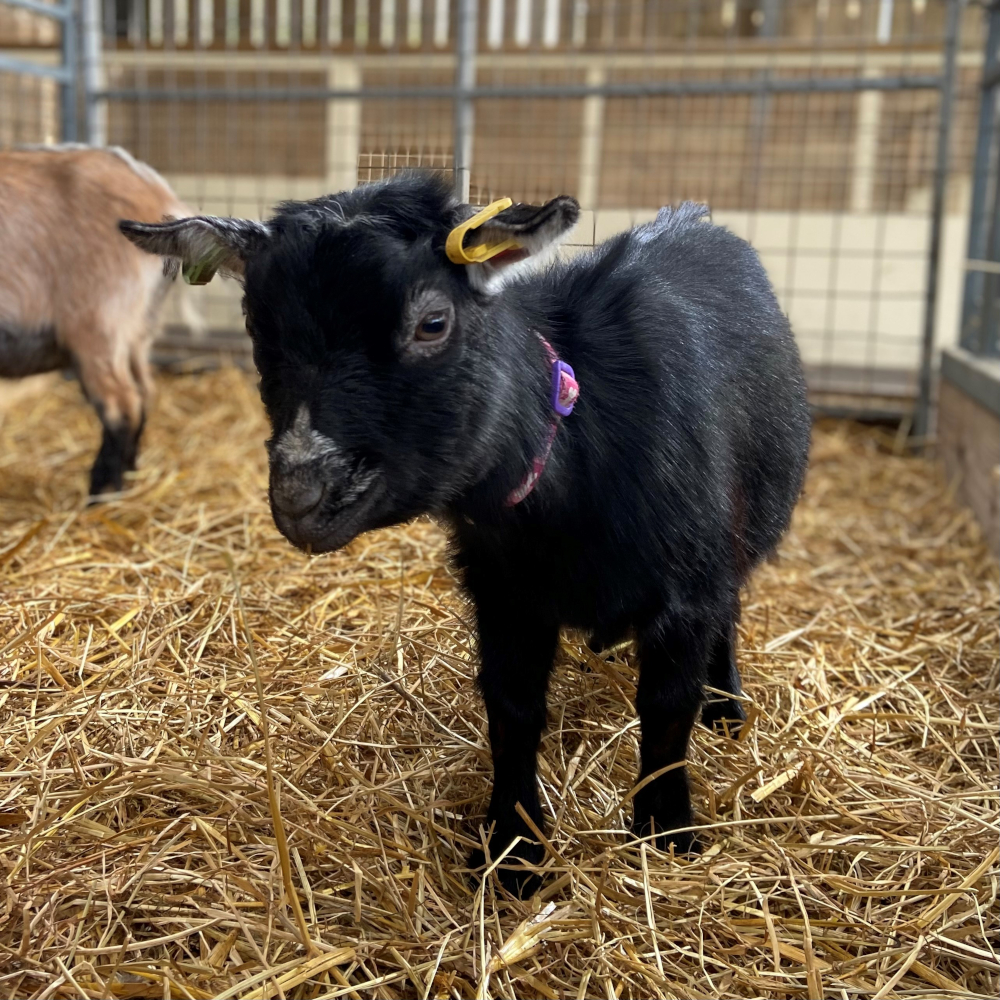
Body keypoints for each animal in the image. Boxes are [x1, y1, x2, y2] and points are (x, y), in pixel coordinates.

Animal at [0, 145, 195, 496]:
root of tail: (161, 195)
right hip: (137, 328)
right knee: (144, 392)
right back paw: (129, 474)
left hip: (99, 323)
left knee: (122, 404)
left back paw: (103, 490)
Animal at [121, 172, 811, 896]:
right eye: (258, 325)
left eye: (432, 323)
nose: (301, 495)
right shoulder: (504, 593)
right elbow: (512, 710)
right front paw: (515, 849)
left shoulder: (687, 589)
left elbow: (668, 707)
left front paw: (667, 831)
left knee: (731, 612)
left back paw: (727, 706)